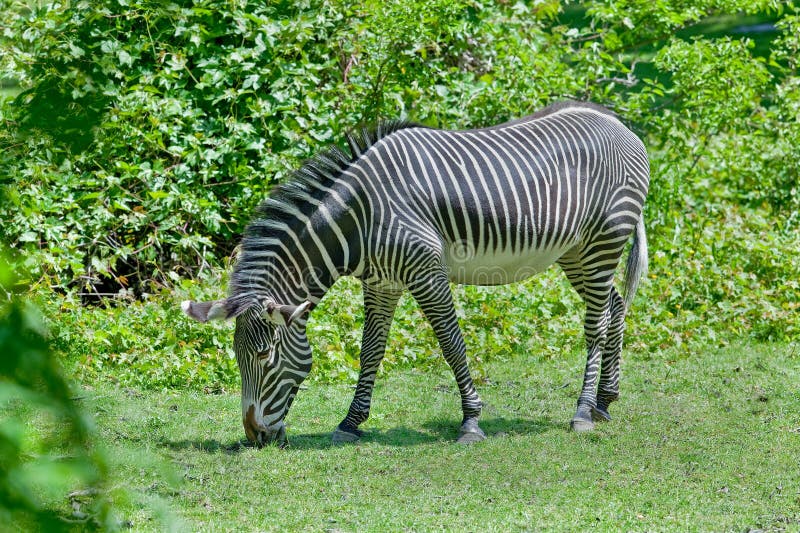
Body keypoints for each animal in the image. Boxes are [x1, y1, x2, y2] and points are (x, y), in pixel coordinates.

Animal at [182, 100, 649, 446]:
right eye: (237, 356)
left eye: (264, 356)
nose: (254, 437)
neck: (360, 216)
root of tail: (617, 122)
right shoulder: (381, 281)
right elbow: (371, 349)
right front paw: (350, 423)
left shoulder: (426, 272)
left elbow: (451, 343)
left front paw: (471, 422)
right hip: (577, 251)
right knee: (616, 306)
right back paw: (605, 401)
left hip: (604, 240)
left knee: (596, 322)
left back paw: (582, 412)